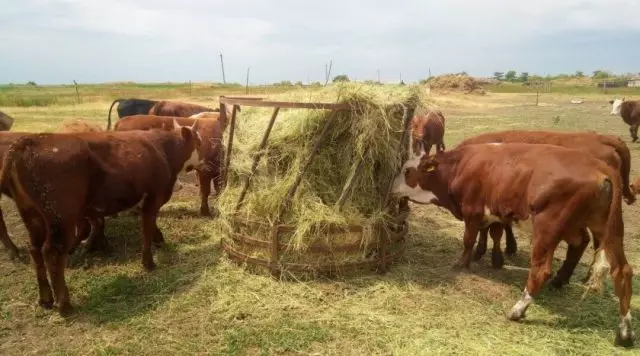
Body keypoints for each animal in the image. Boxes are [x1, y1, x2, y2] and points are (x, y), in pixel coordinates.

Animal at [0, 121, 204, 314]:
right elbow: (146, 230)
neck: (163, 149)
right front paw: (149, 263)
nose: (205, 161)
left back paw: (46, 299)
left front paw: (160, 241)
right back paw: (64, 305)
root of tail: (27, 142)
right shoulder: (153, 198)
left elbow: (151, 226)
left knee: (35, 250)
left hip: (31, 215)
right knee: (52, 252)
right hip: (61, 218)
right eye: (199, 142)